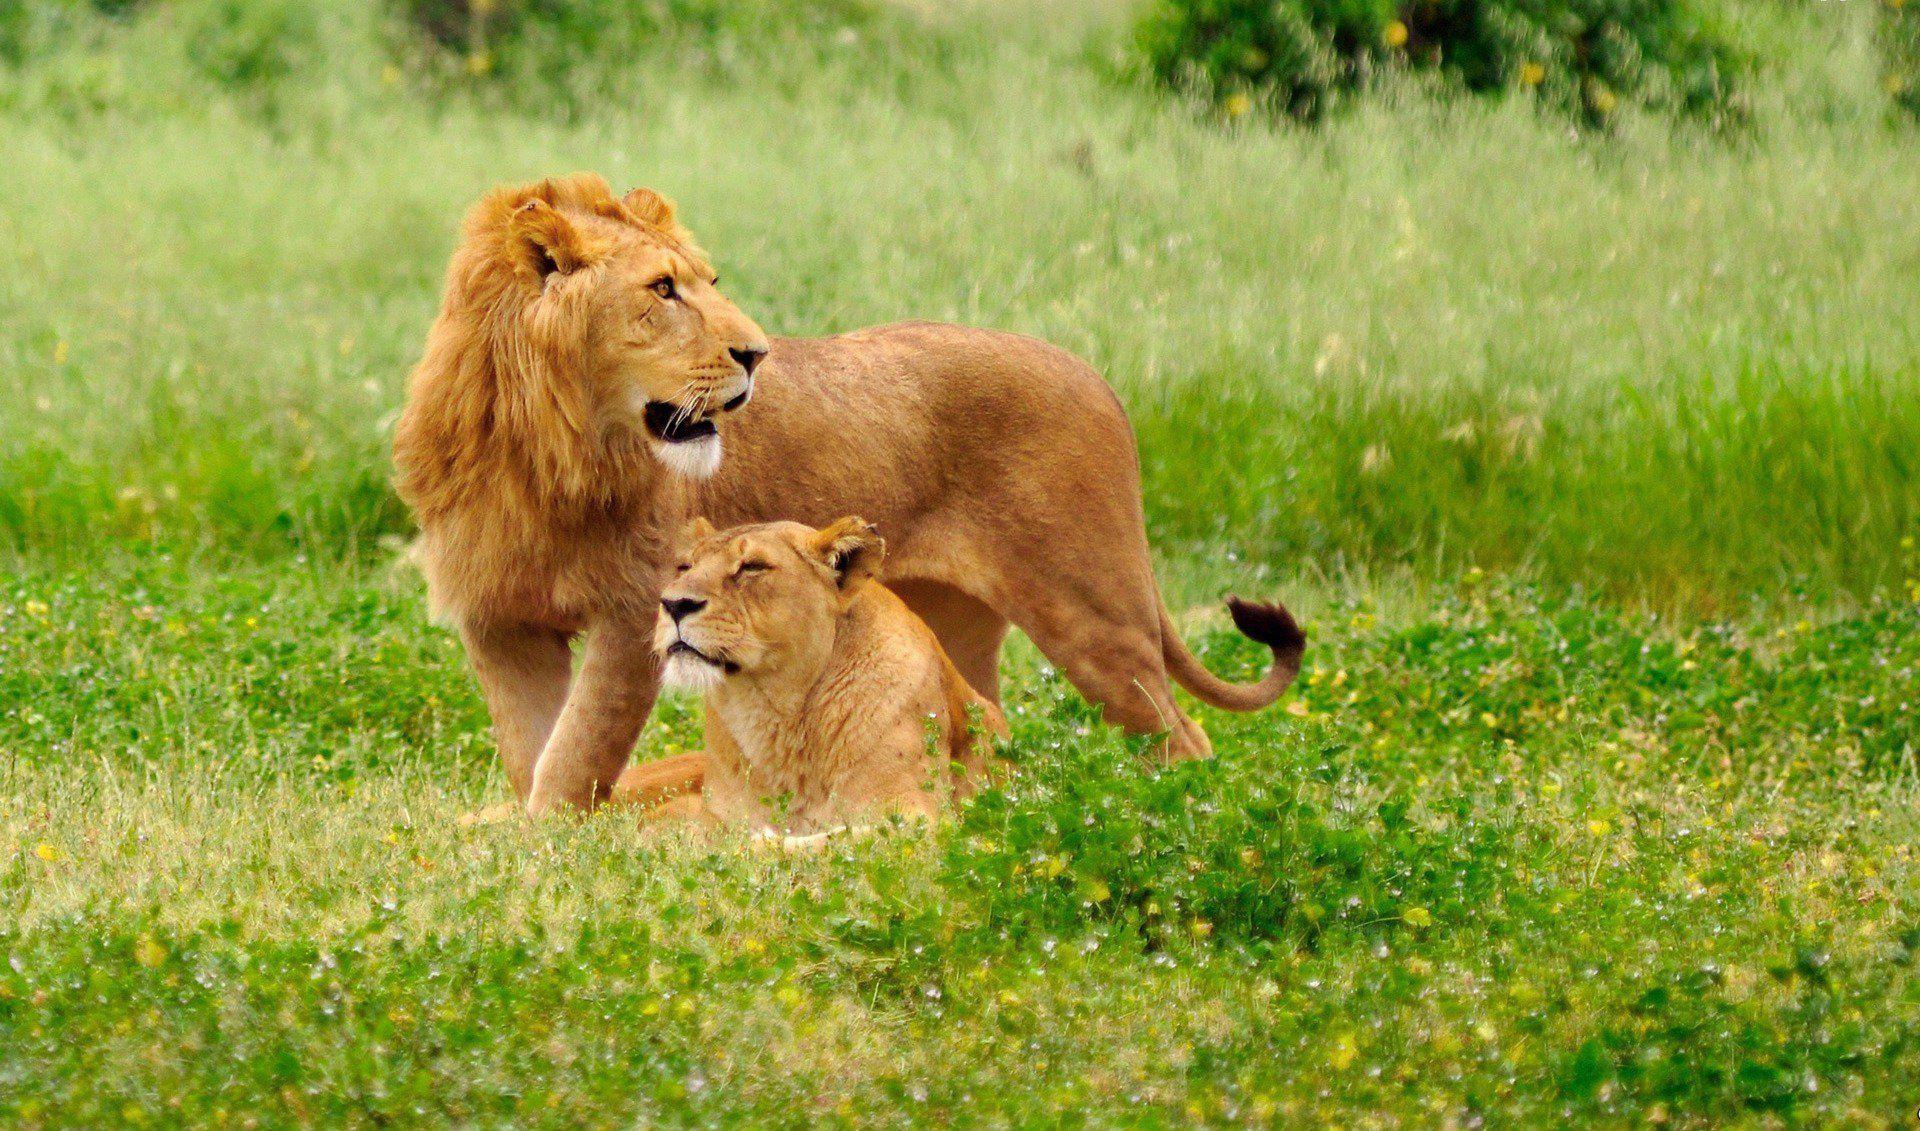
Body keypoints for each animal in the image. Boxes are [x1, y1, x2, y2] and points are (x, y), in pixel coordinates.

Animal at [620, 515, 1006, 839]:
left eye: (752, 567)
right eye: (685, 567)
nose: (673, 604)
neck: (776, 716)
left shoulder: (914, 815)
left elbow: (836, 838)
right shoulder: (712, 813)